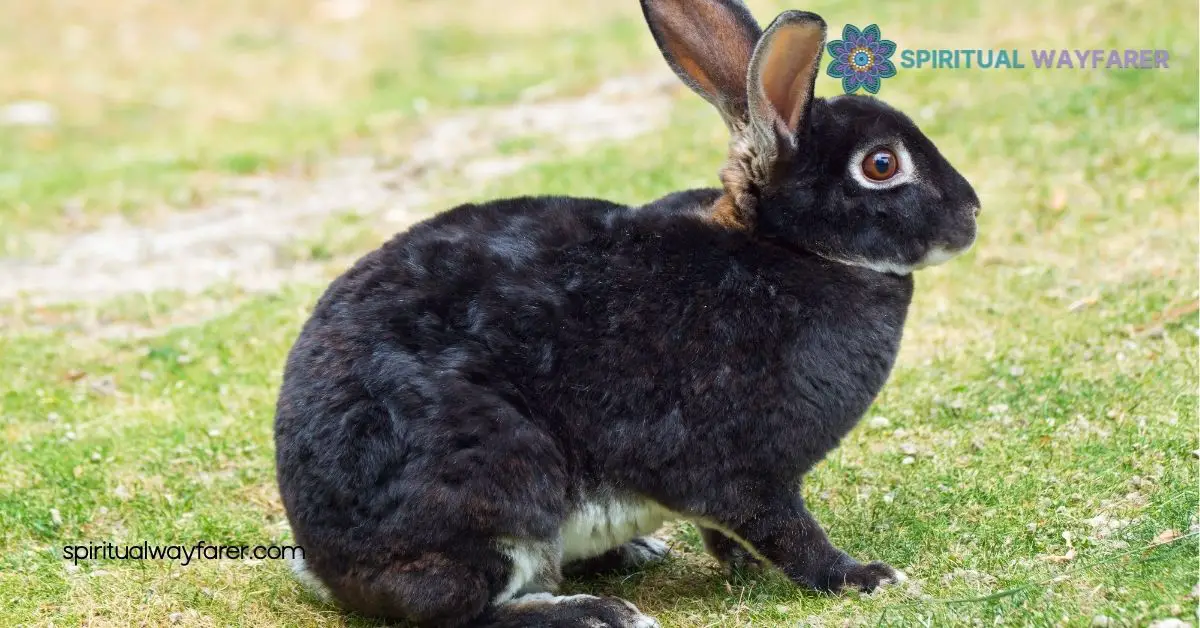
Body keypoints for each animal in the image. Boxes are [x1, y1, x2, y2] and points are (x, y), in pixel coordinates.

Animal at [273, 0, 980, 626]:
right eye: (881, 165)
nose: (972, 214)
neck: (788, 247)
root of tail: (328, 566)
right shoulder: (746, 470)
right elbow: (786, 531)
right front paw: (862, 577)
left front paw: (740, 565)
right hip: (497, 488)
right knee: (465, 607)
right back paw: (596, 613)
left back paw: (633, 553)